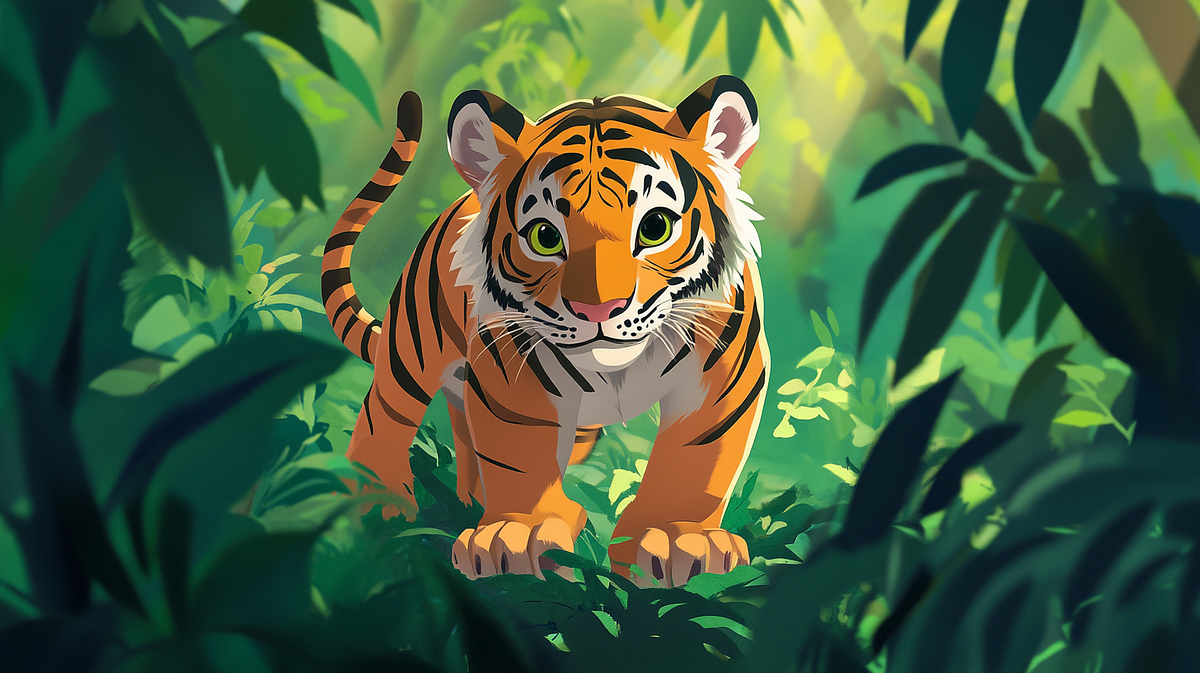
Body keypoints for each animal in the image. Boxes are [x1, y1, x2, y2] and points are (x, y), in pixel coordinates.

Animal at [321, 76, 768, 588]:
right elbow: (520, 457)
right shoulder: (511, 370)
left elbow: (697, 456)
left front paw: (676, 537)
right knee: (385, 415)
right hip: (411, 349)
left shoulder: (723, 374)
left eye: (655, 227)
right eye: (545, 237)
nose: (599, 309)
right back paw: (377, 507)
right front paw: (518, 536)